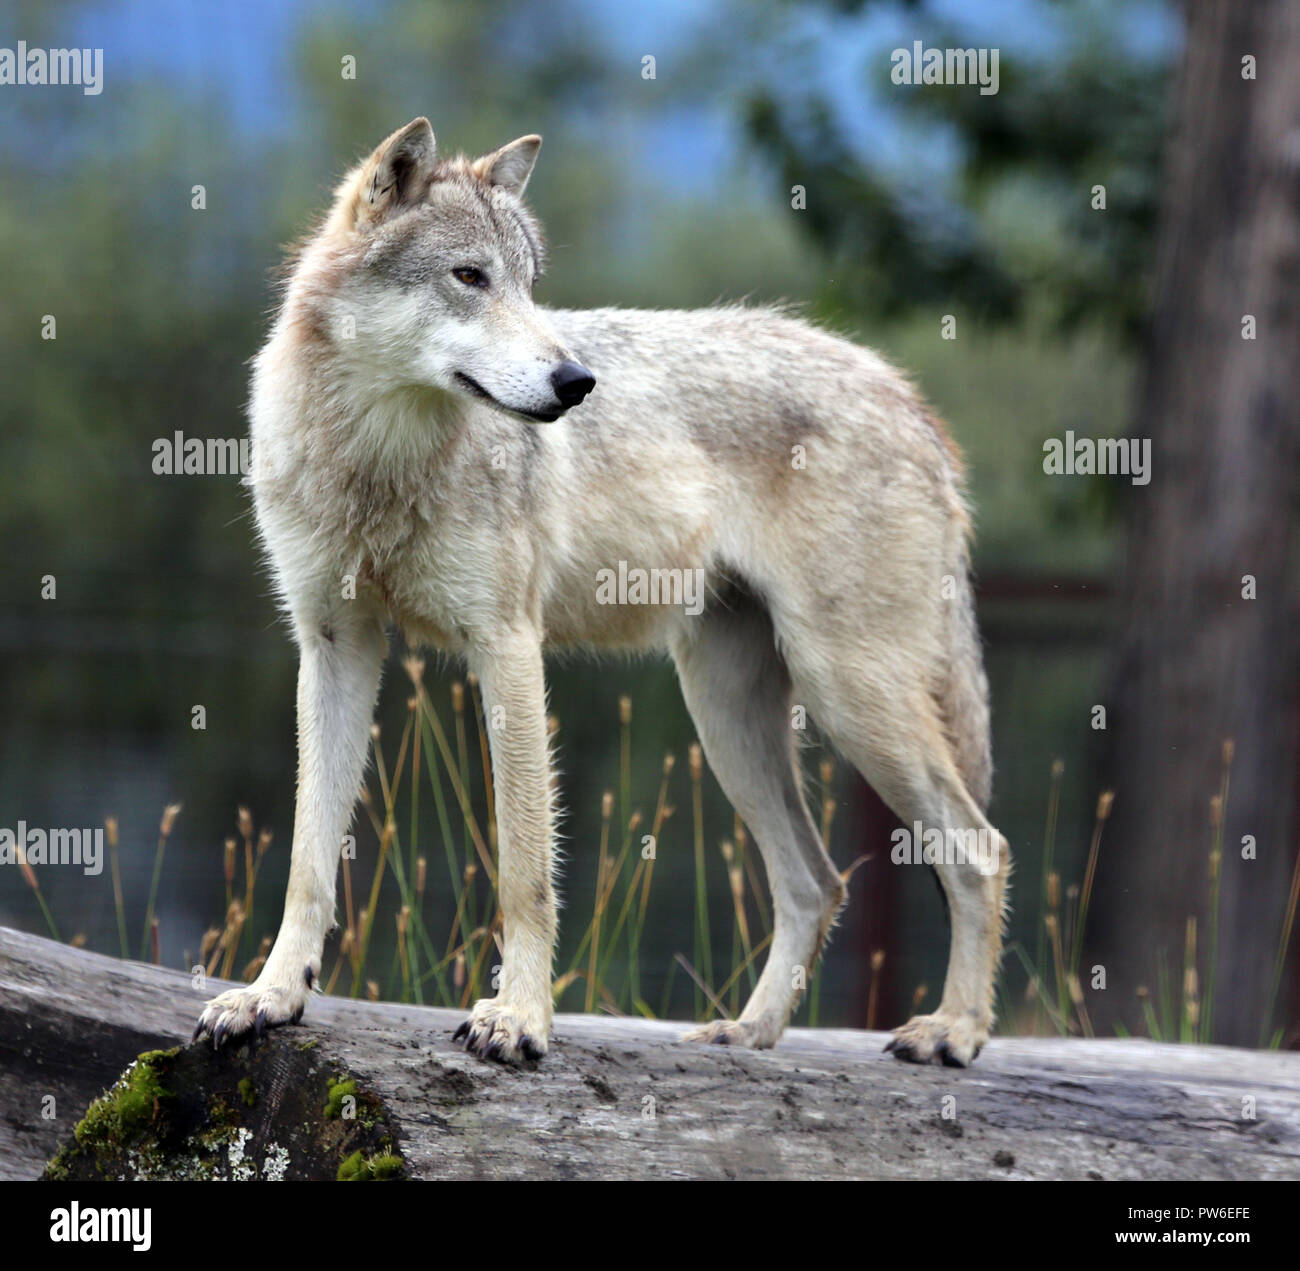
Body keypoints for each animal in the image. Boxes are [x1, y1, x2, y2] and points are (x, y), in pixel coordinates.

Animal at [194, 118, 1010, 1067]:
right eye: (469, 277)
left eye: (530, 285)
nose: (576, 383)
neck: (382, 458)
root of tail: (913, 402)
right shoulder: (334, 647)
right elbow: (307, 860)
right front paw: (269, 996)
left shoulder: (507, 647)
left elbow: (524, 868)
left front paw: (518, 1018)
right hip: (730, 717)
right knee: (818, 880)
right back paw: (749, 1031)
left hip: (848, 697)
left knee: (977, 848)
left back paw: (954, 1032)